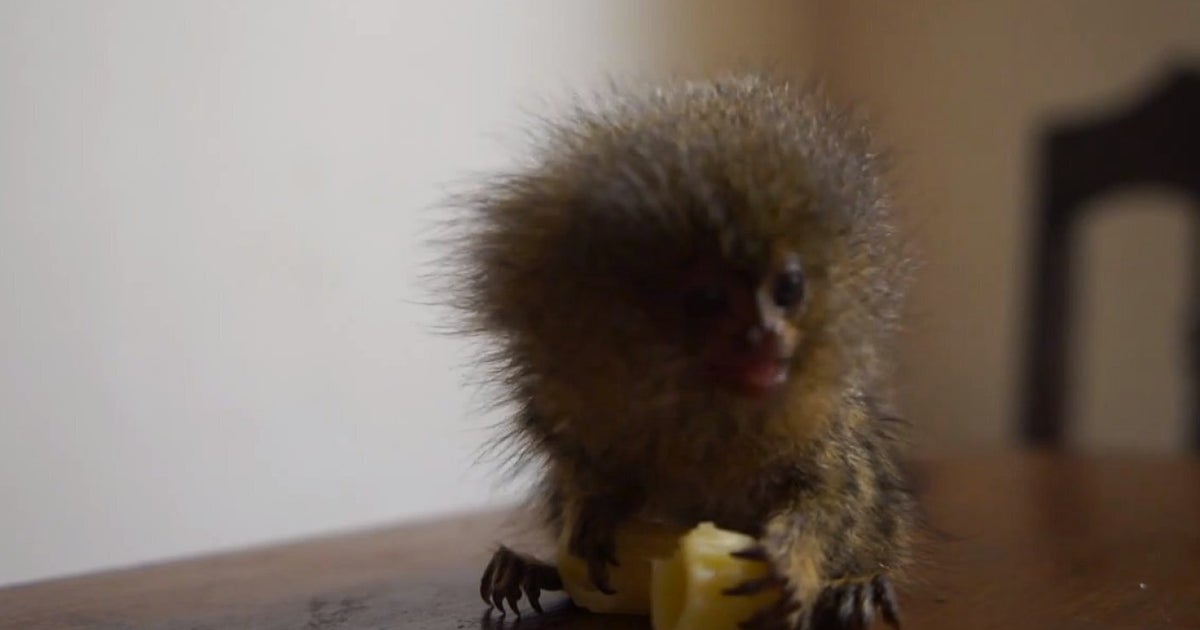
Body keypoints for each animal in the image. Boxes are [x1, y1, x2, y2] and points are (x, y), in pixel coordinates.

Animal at [440, 71, 918, 630]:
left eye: (789, 288)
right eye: (709, 300)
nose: (765, 335)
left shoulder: (823, 427)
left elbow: (836, 493)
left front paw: (794, 563)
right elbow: (584, 471)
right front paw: (593, 509)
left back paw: (855, 590)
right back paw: (532, 570)